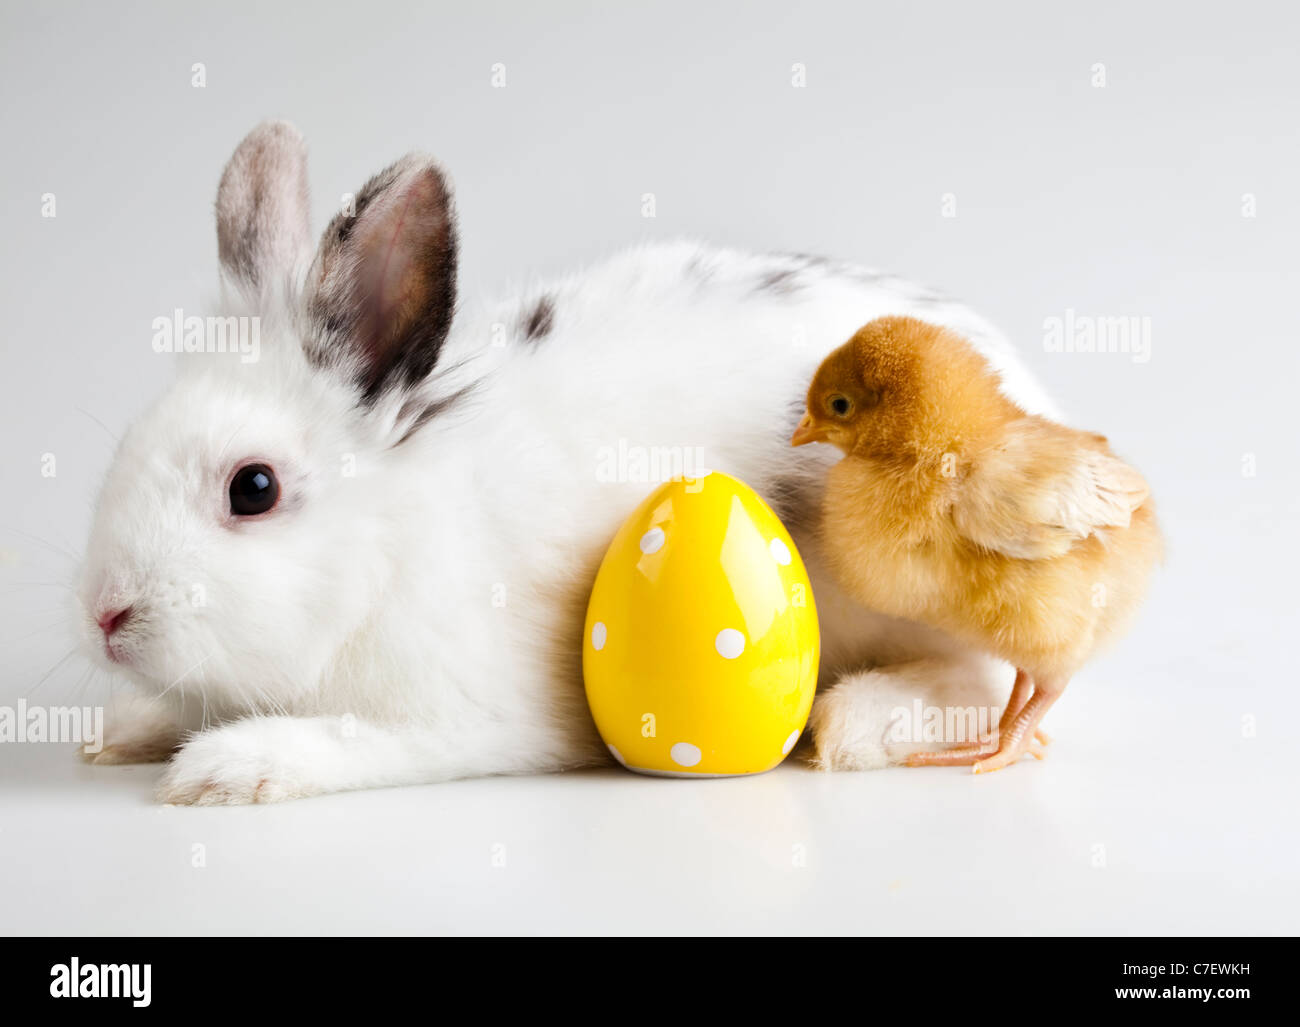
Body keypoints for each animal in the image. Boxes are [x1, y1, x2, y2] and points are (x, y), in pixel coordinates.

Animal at [76, 121, 1061, 803]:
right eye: (126, 444)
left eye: (254, 488)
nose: (105, 615)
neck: (390, 537)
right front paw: (121, 733)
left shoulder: (463, 717)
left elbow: (348, 740)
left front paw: (223, 768)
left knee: (985, 682)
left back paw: (857, 723)